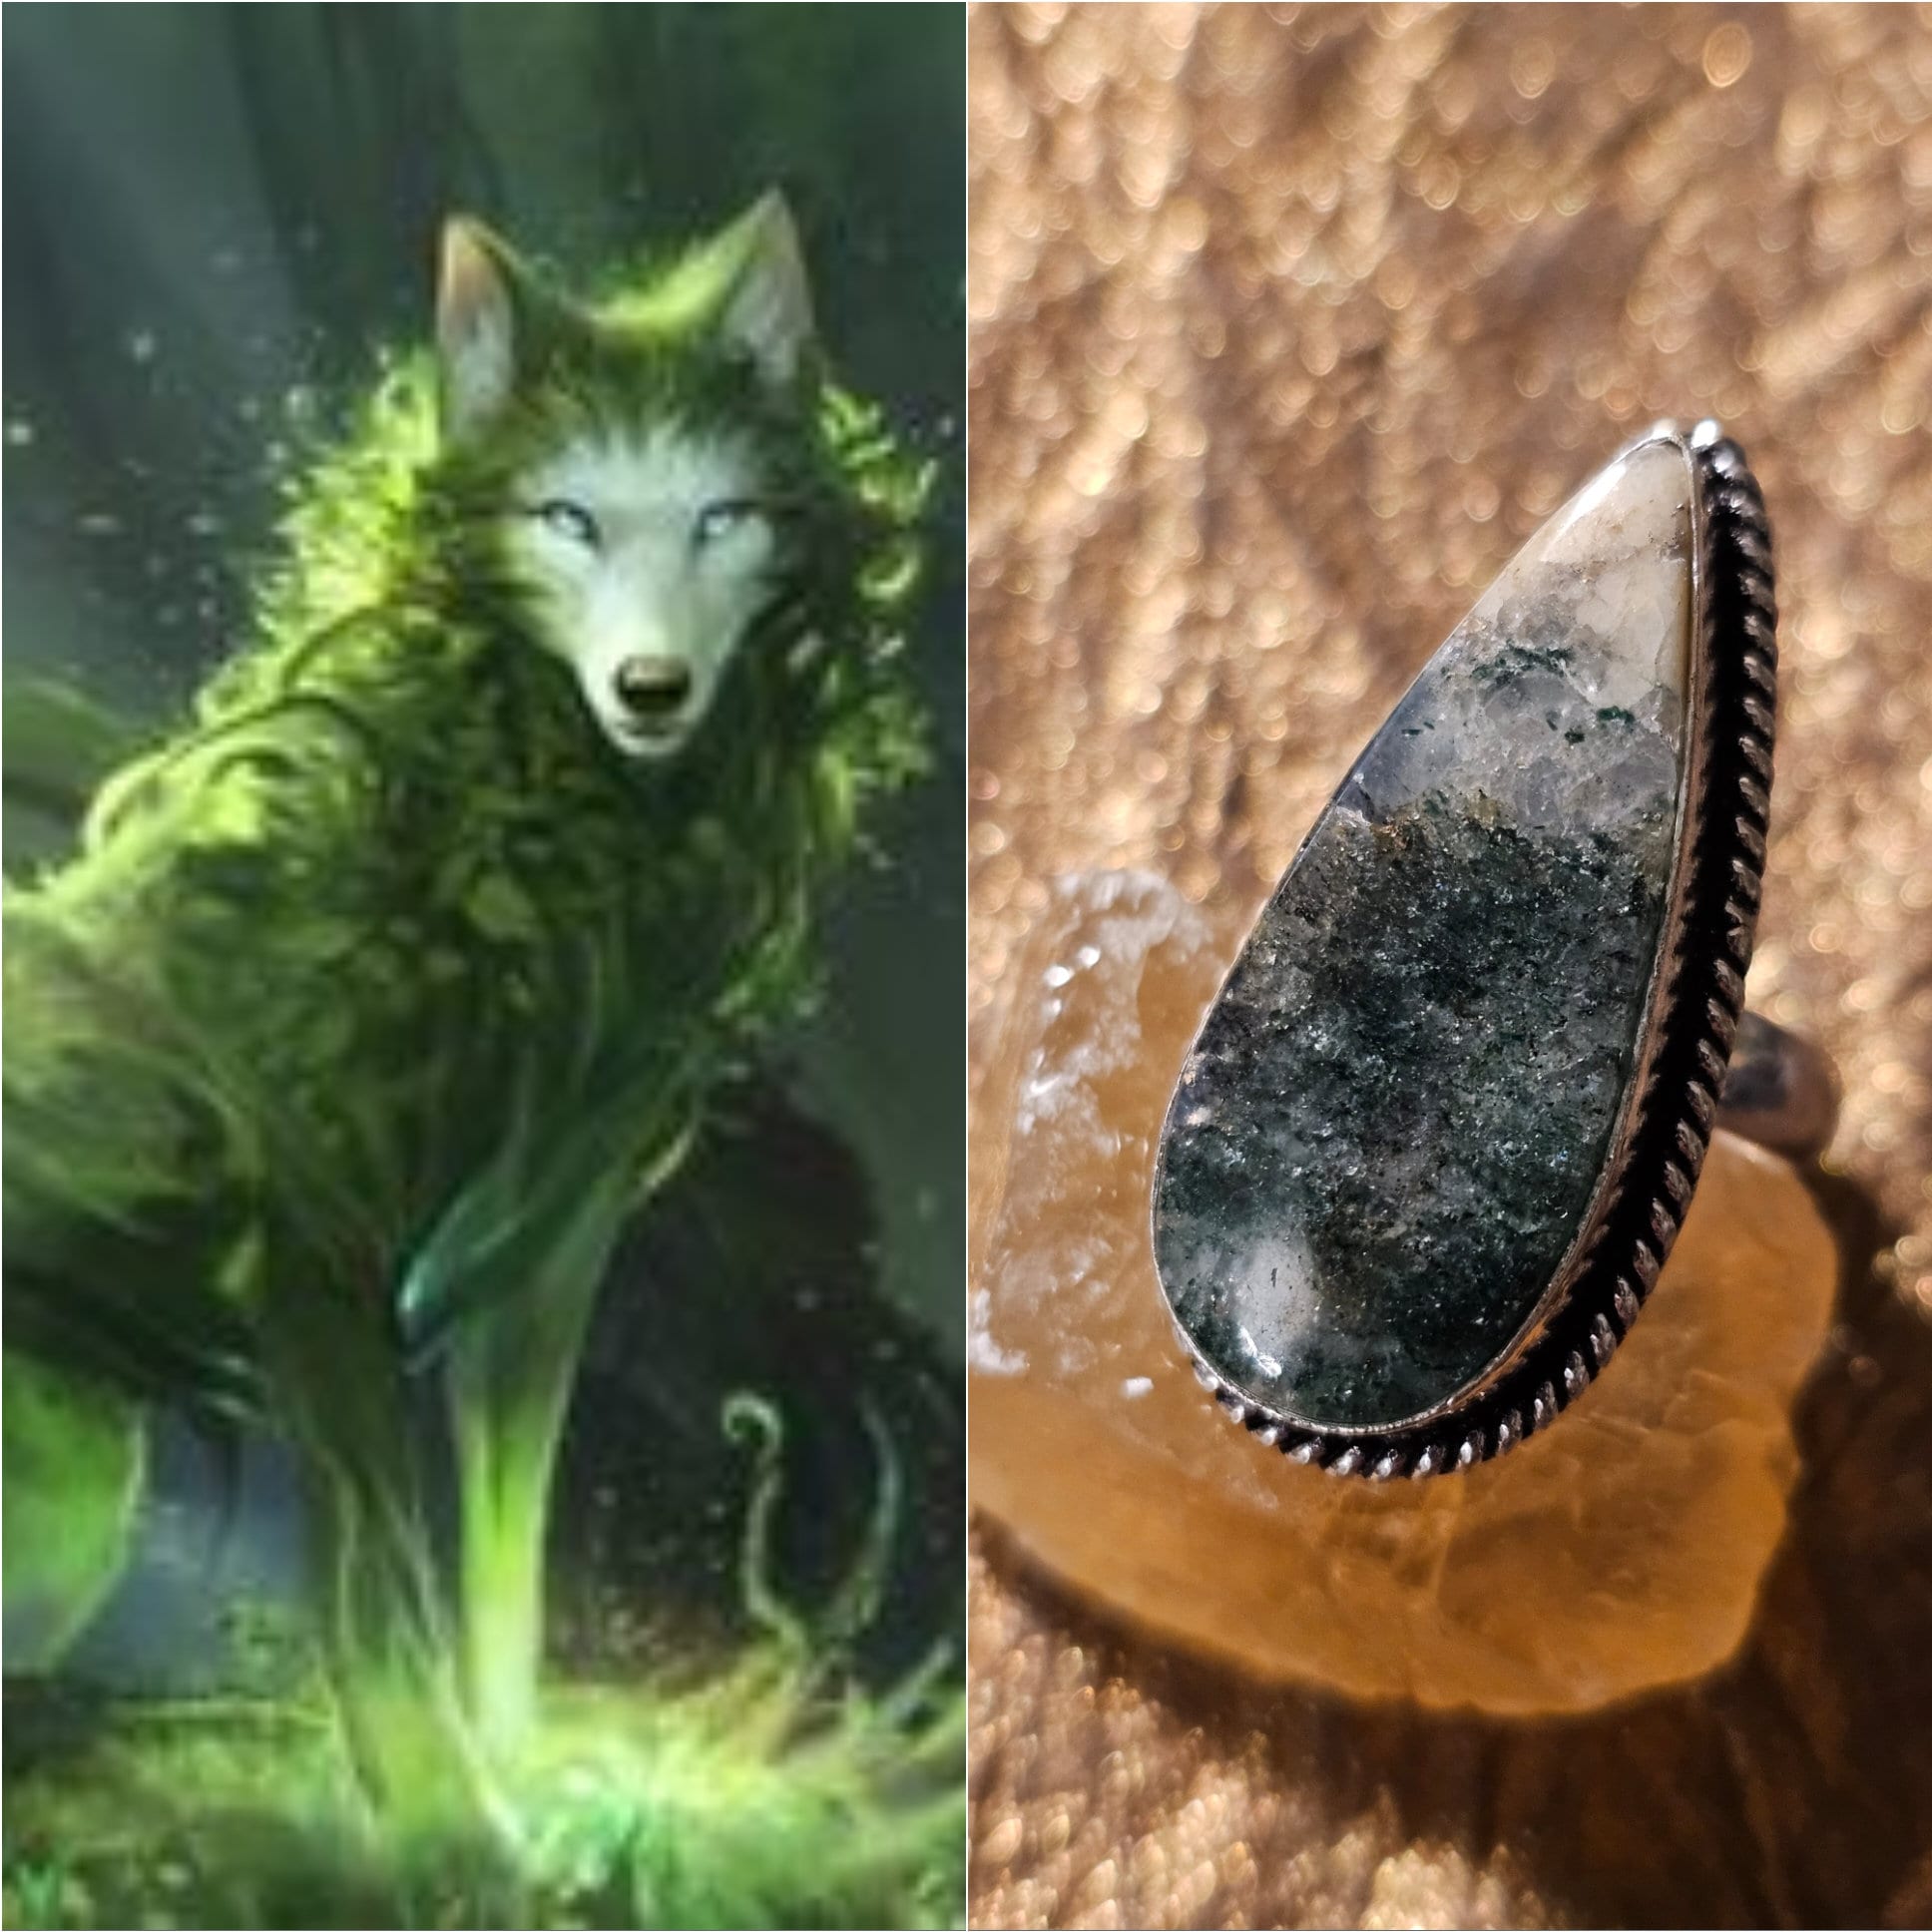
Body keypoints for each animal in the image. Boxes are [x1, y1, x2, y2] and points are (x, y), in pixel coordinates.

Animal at [2, 193, 930, 1814]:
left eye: (720, 518)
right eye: (568, 519)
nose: (651, 685)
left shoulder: (551, 1247)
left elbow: (503, 1570)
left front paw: (522, 1785)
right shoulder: (314, 1249)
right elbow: (383, 1595)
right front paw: (449, 1829)